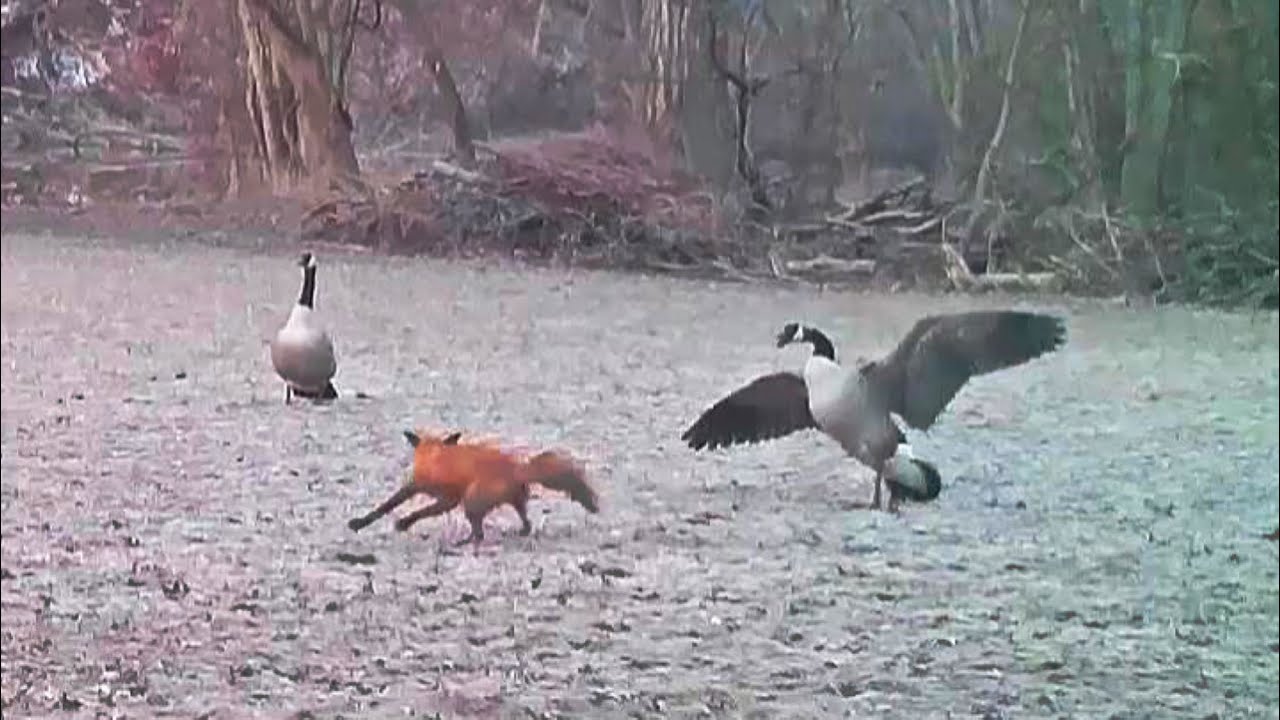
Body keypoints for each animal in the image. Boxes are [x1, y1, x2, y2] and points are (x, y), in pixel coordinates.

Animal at [346, 429, 600, 547]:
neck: (435, 458)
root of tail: (517, 466)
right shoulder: (413, 486)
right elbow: (383, 507)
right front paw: (360, 523)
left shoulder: (448, 499)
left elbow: (420, 511)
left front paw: (404, 522)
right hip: (512, 501)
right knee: (525, 522)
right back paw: (520, 531)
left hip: (471, 502)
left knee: (479, 533)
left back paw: (461, 543)